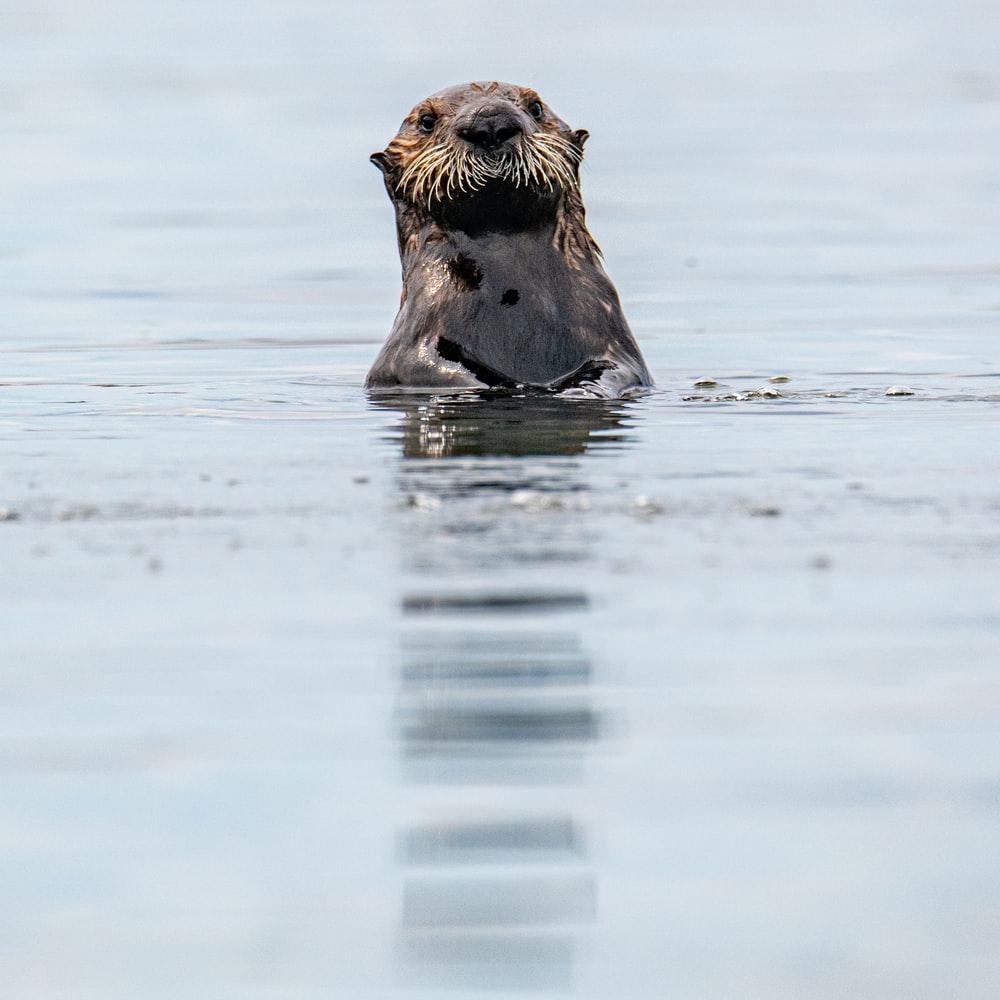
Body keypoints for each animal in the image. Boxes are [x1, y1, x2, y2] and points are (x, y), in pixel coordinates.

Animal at [366, 81, 652, 398]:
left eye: (535, 107)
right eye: (426, 120)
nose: (489, 120)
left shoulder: (613, 339)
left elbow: (618, 368)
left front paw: (578, 389)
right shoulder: (410, 351)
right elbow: (421, 366)